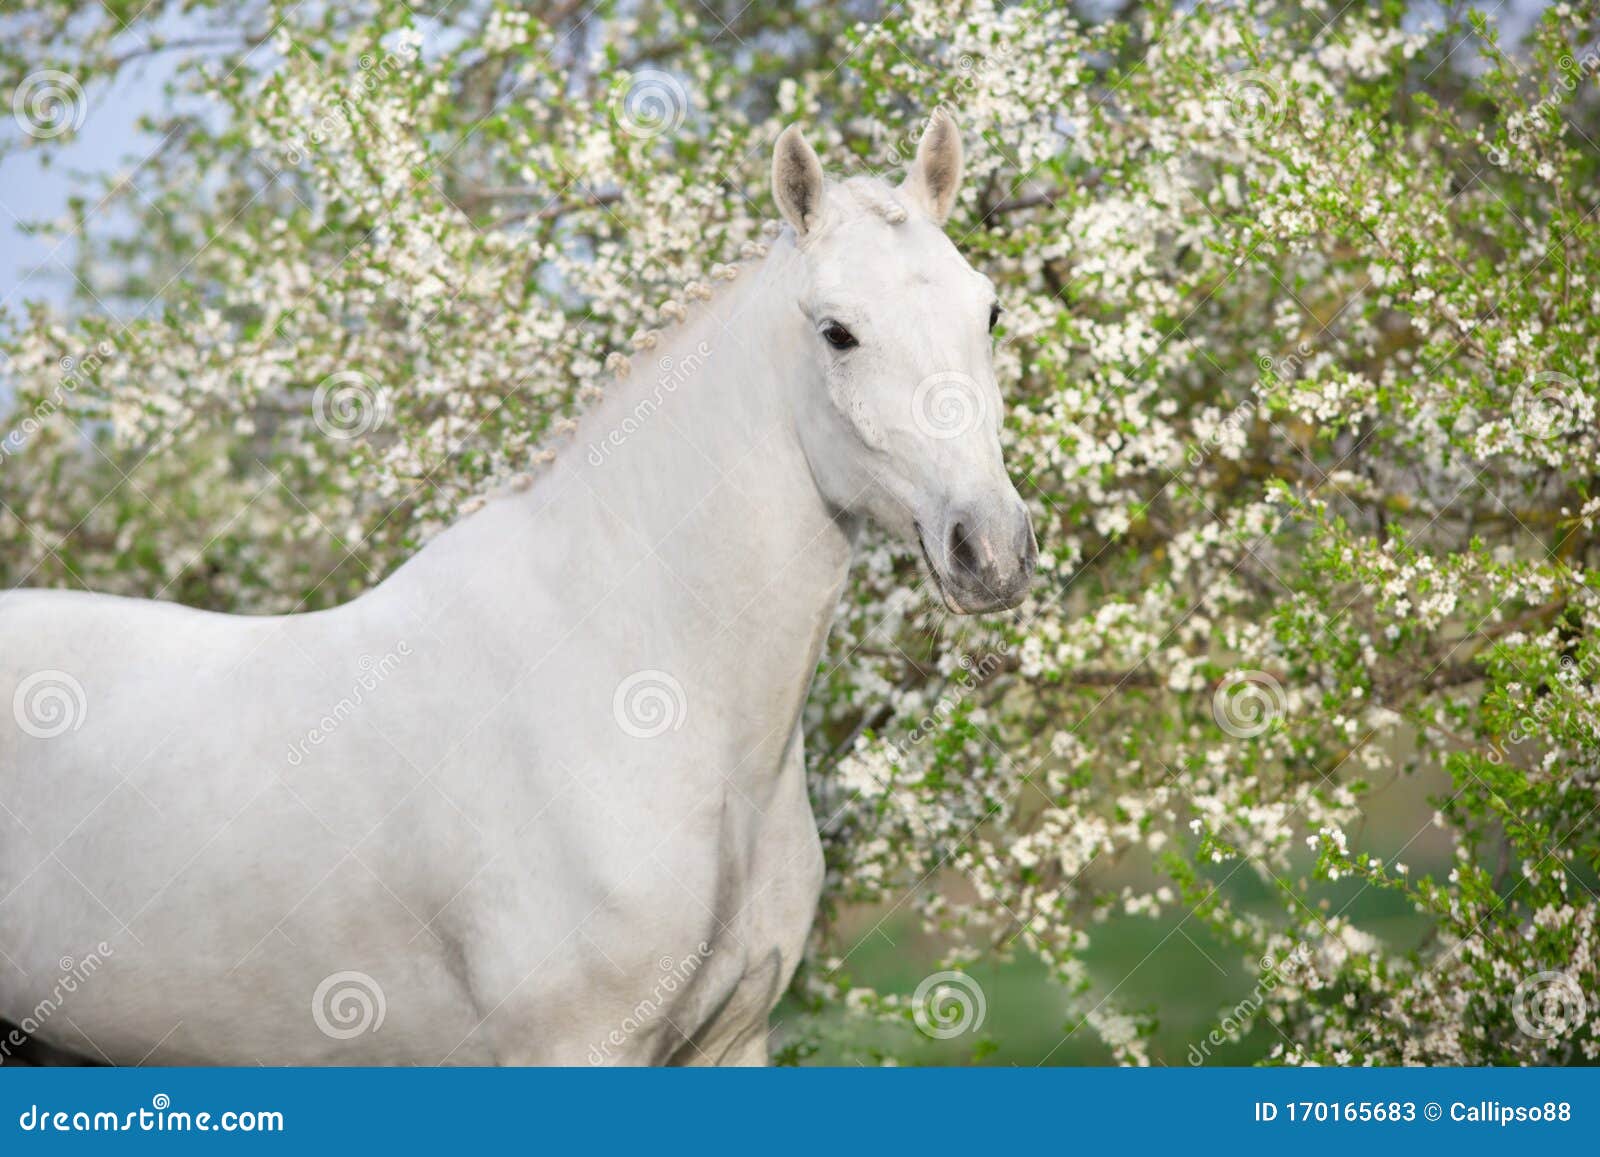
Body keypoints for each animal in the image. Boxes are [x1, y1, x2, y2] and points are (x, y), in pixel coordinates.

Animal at [0, 110, 1035, 1065]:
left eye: (986, 312)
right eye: (838, 332)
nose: (991, 548)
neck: (641, 684)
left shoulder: (732, 1043)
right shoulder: (572, 1046)